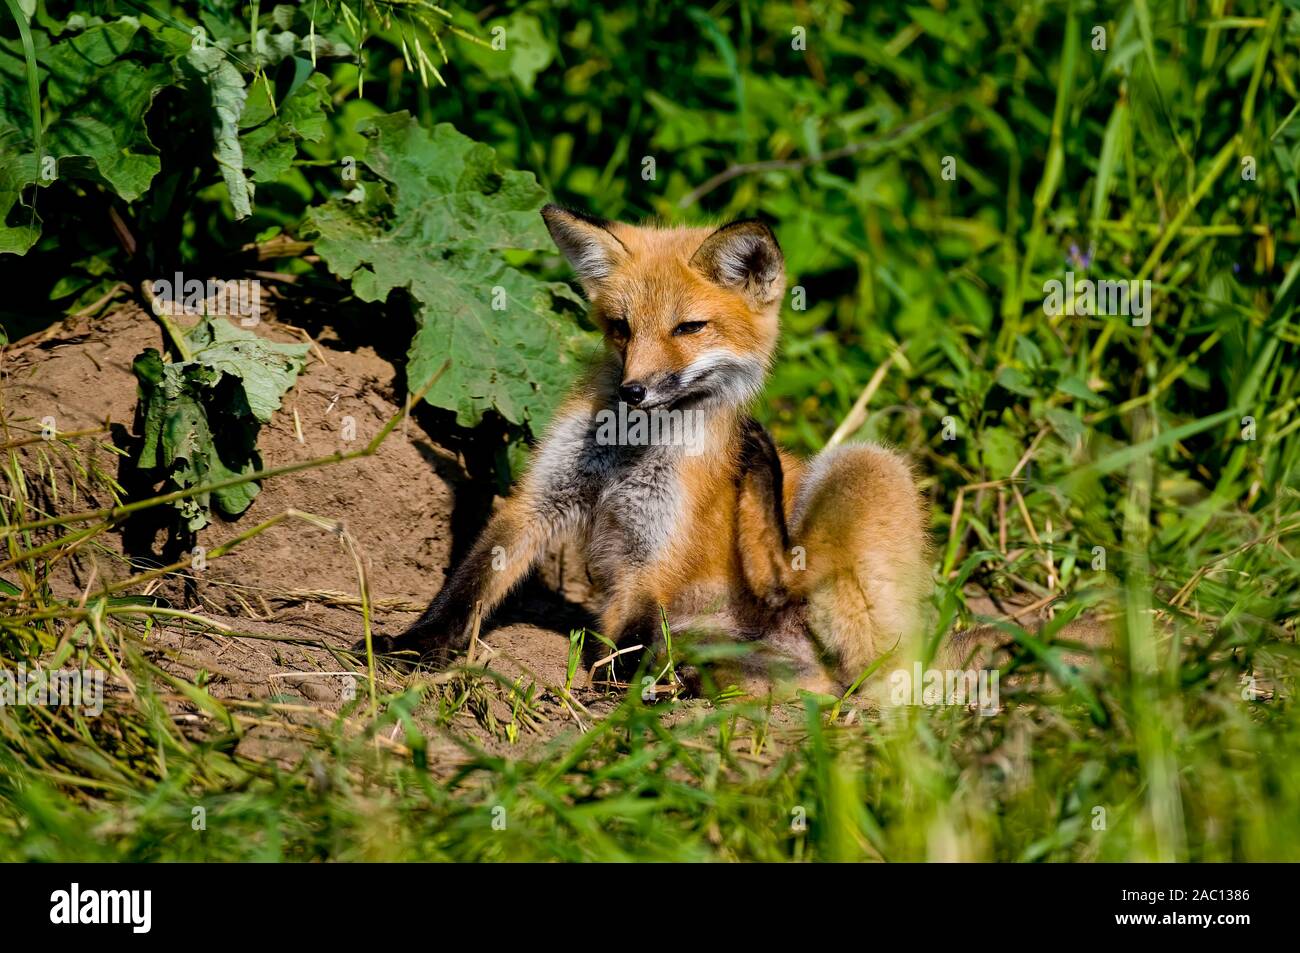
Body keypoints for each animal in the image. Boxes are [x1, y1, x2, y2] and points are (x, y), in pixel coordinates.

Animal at [391, 205, 932, 692]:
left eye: (688, 328)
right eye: (621, 327)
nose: (633, 391)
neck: (629, 451)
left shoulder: (658, 546)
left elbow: (629, 641)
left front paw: (618, 695)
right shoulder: (539, 502)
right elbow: (471, 583)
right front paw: (415, 645)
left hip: (865, 464)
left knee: (793, 590)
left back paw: (762, 468)